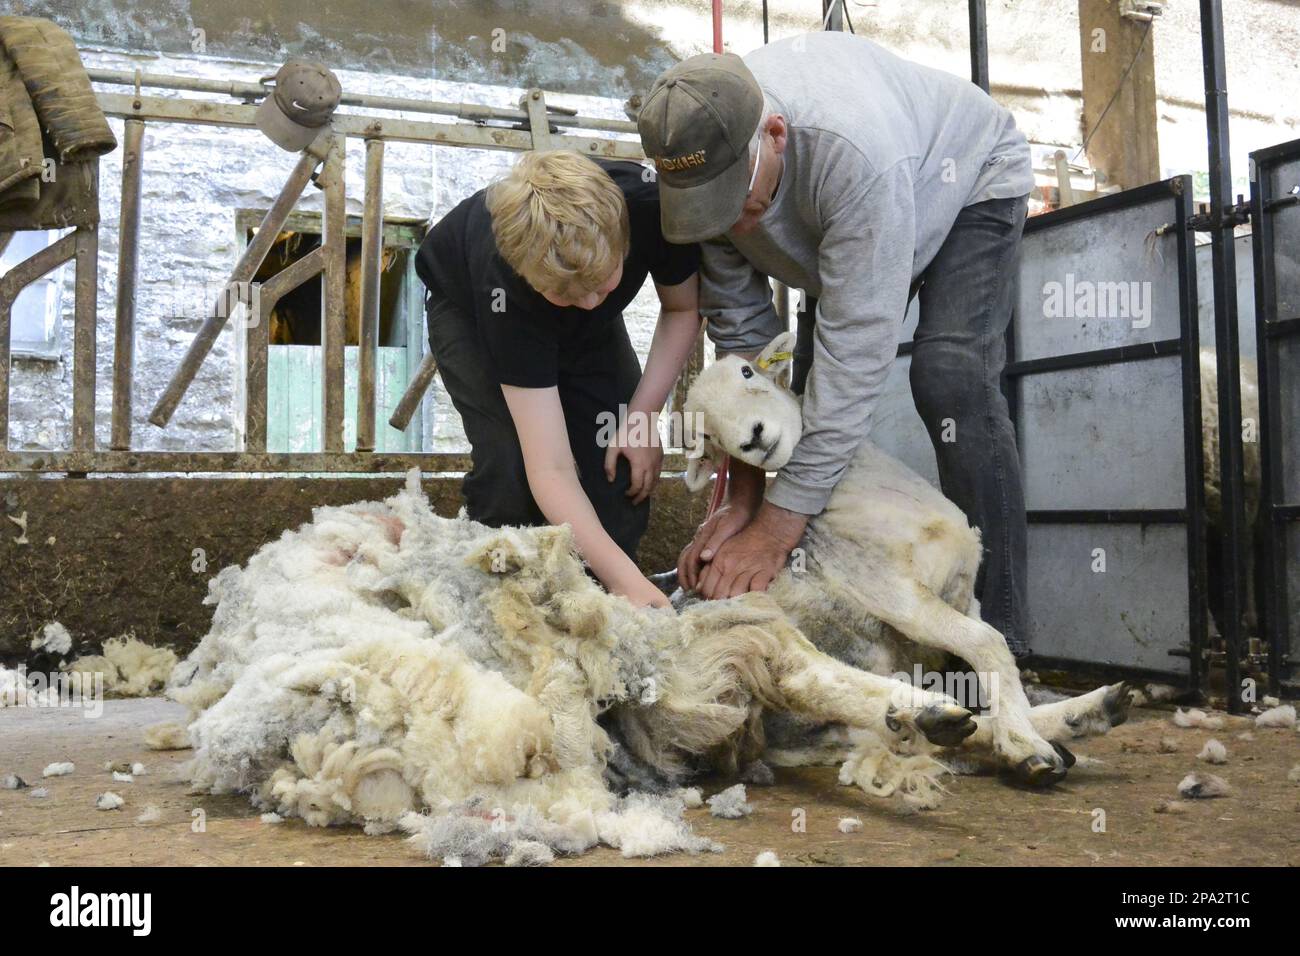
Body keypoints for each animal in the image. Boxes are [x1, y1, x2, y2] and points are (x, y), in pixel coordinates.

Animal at [681, 331, 1134, 785]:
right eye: (708, 437)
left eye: (747, 371)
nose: (752, 438)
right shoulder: (898, 596)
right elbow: (988, 644)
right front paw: (1021, 741)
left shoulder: (965, 595)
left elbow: (999, 659)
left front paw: (1020, 728)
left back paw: (1085, 714)